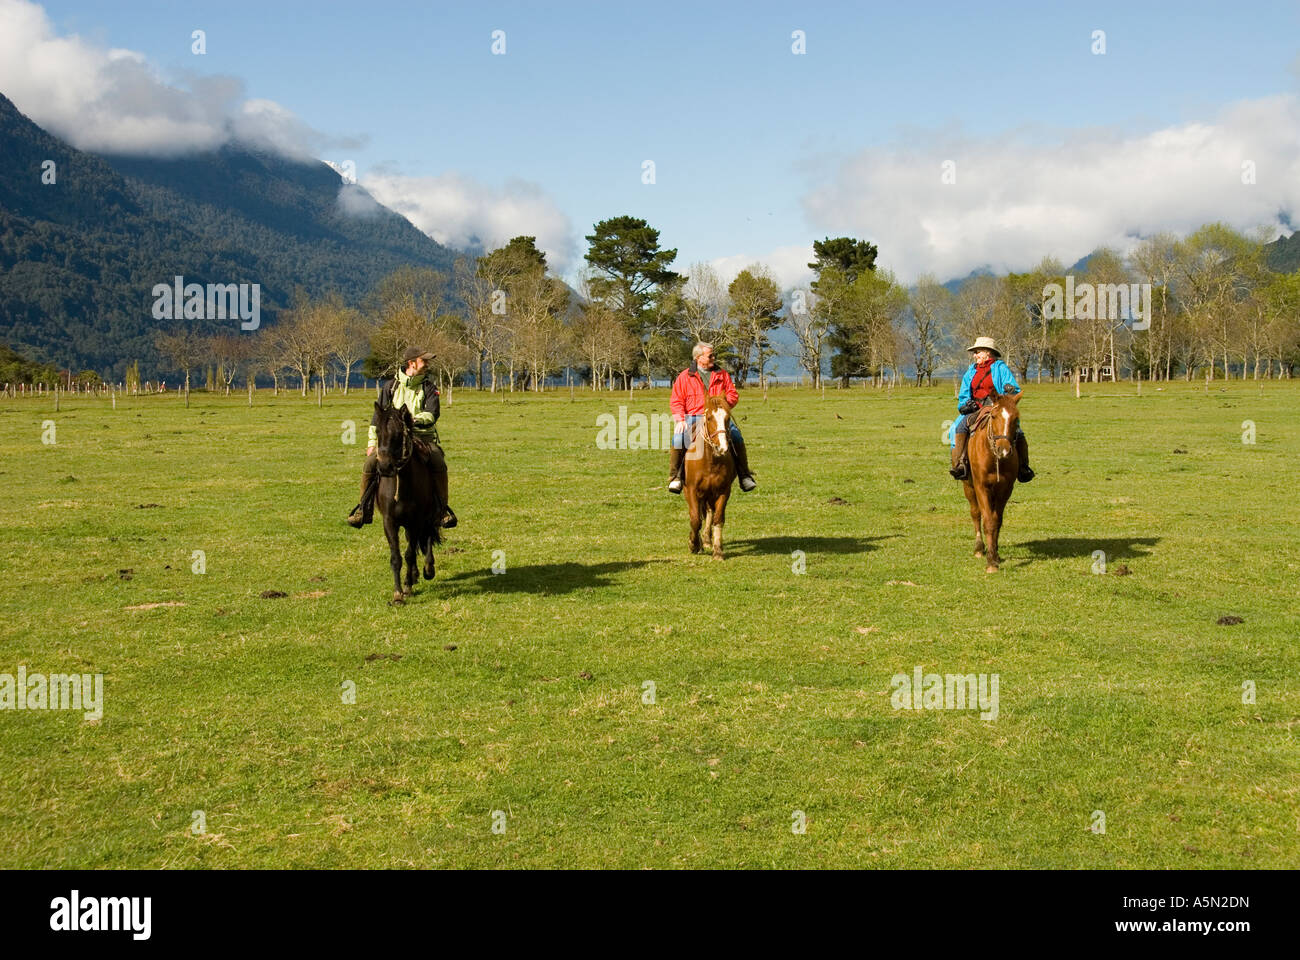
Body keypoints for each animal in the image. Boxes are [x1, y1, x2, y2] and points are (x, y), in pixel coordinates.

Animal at [372, 398, 447, 603]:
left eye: (399, 434)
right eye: (377, 431)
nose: (385, 467)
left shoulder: (416, 520)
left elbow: (410, 553)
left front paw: (407, 587)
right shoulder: (389, 521)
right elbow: (397, 557)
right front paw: (398, 593)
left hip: (429, 516)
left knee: (427, 537)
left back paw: (427, 569)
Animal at [684, 395, 737, 559]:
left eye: (727, 418)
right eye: (708, 418)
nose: (722, 448)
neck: (710, 461)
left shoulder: (723, 491)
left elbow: (718, 518)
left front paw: (717, 550)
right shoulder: (692, 490)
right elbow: (695, 519)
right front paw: (693, 544)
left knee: (709, 512)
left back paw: (707, 540)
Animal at [961, 388, 1023, 573]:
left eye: (1016, 418)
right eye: (994, 416)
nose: (1004, 450)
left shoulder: (1005, 489)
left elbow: (997, 521)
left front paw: (995, 554)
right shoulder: (981, 486)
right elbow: (987, 521)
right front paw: (990, 562)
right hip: (969, 486)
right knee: (975, 513)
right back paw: (979, 548)